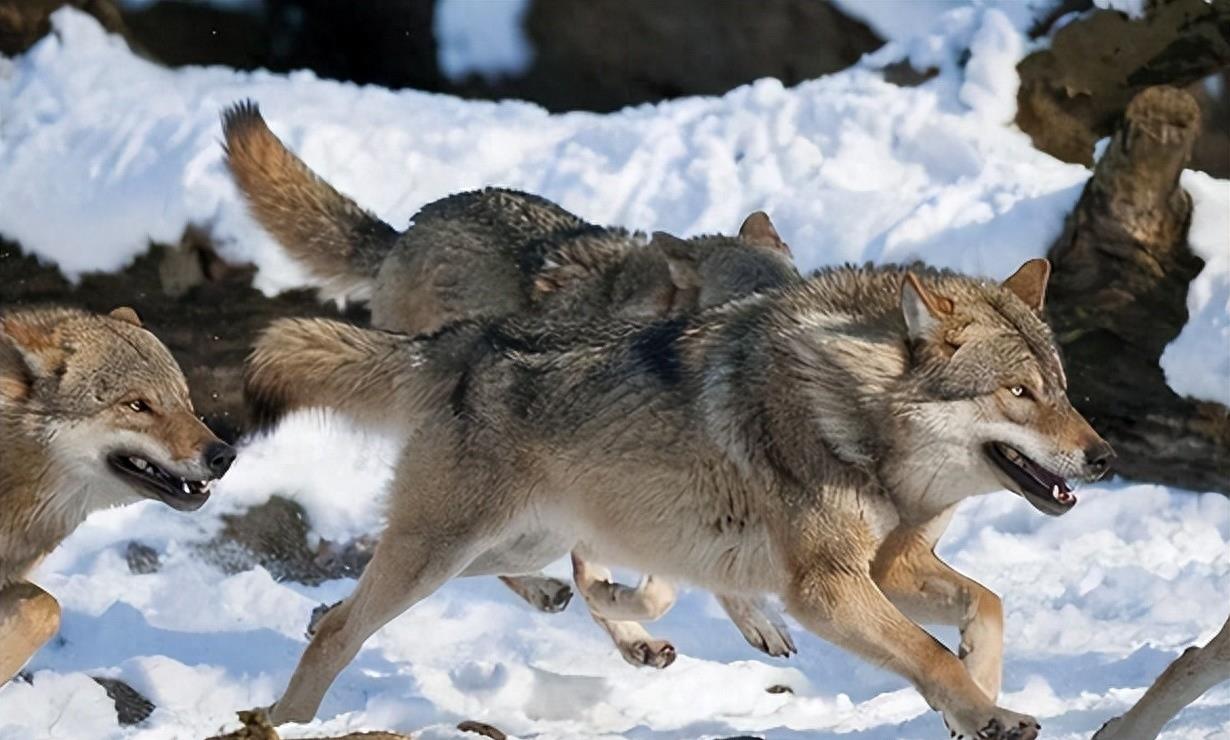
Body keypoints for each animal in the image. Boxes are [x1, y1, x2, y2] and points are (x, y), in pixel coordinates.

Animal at [246, 257, 1114, 737]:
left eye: (1063, 390)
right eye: (1018, 393)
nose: (1104, 458)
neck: (856, 416)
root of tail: (465, 340)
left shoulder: (890, 568)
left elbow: (987, 607)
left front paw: (978, 702)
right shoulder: (825, 588)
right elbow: (929, 651)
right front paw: (990, 714)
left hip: (509, 541)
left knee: (364, 603)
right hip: (442, 551)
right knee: (343, 627)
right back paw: (286, 722)